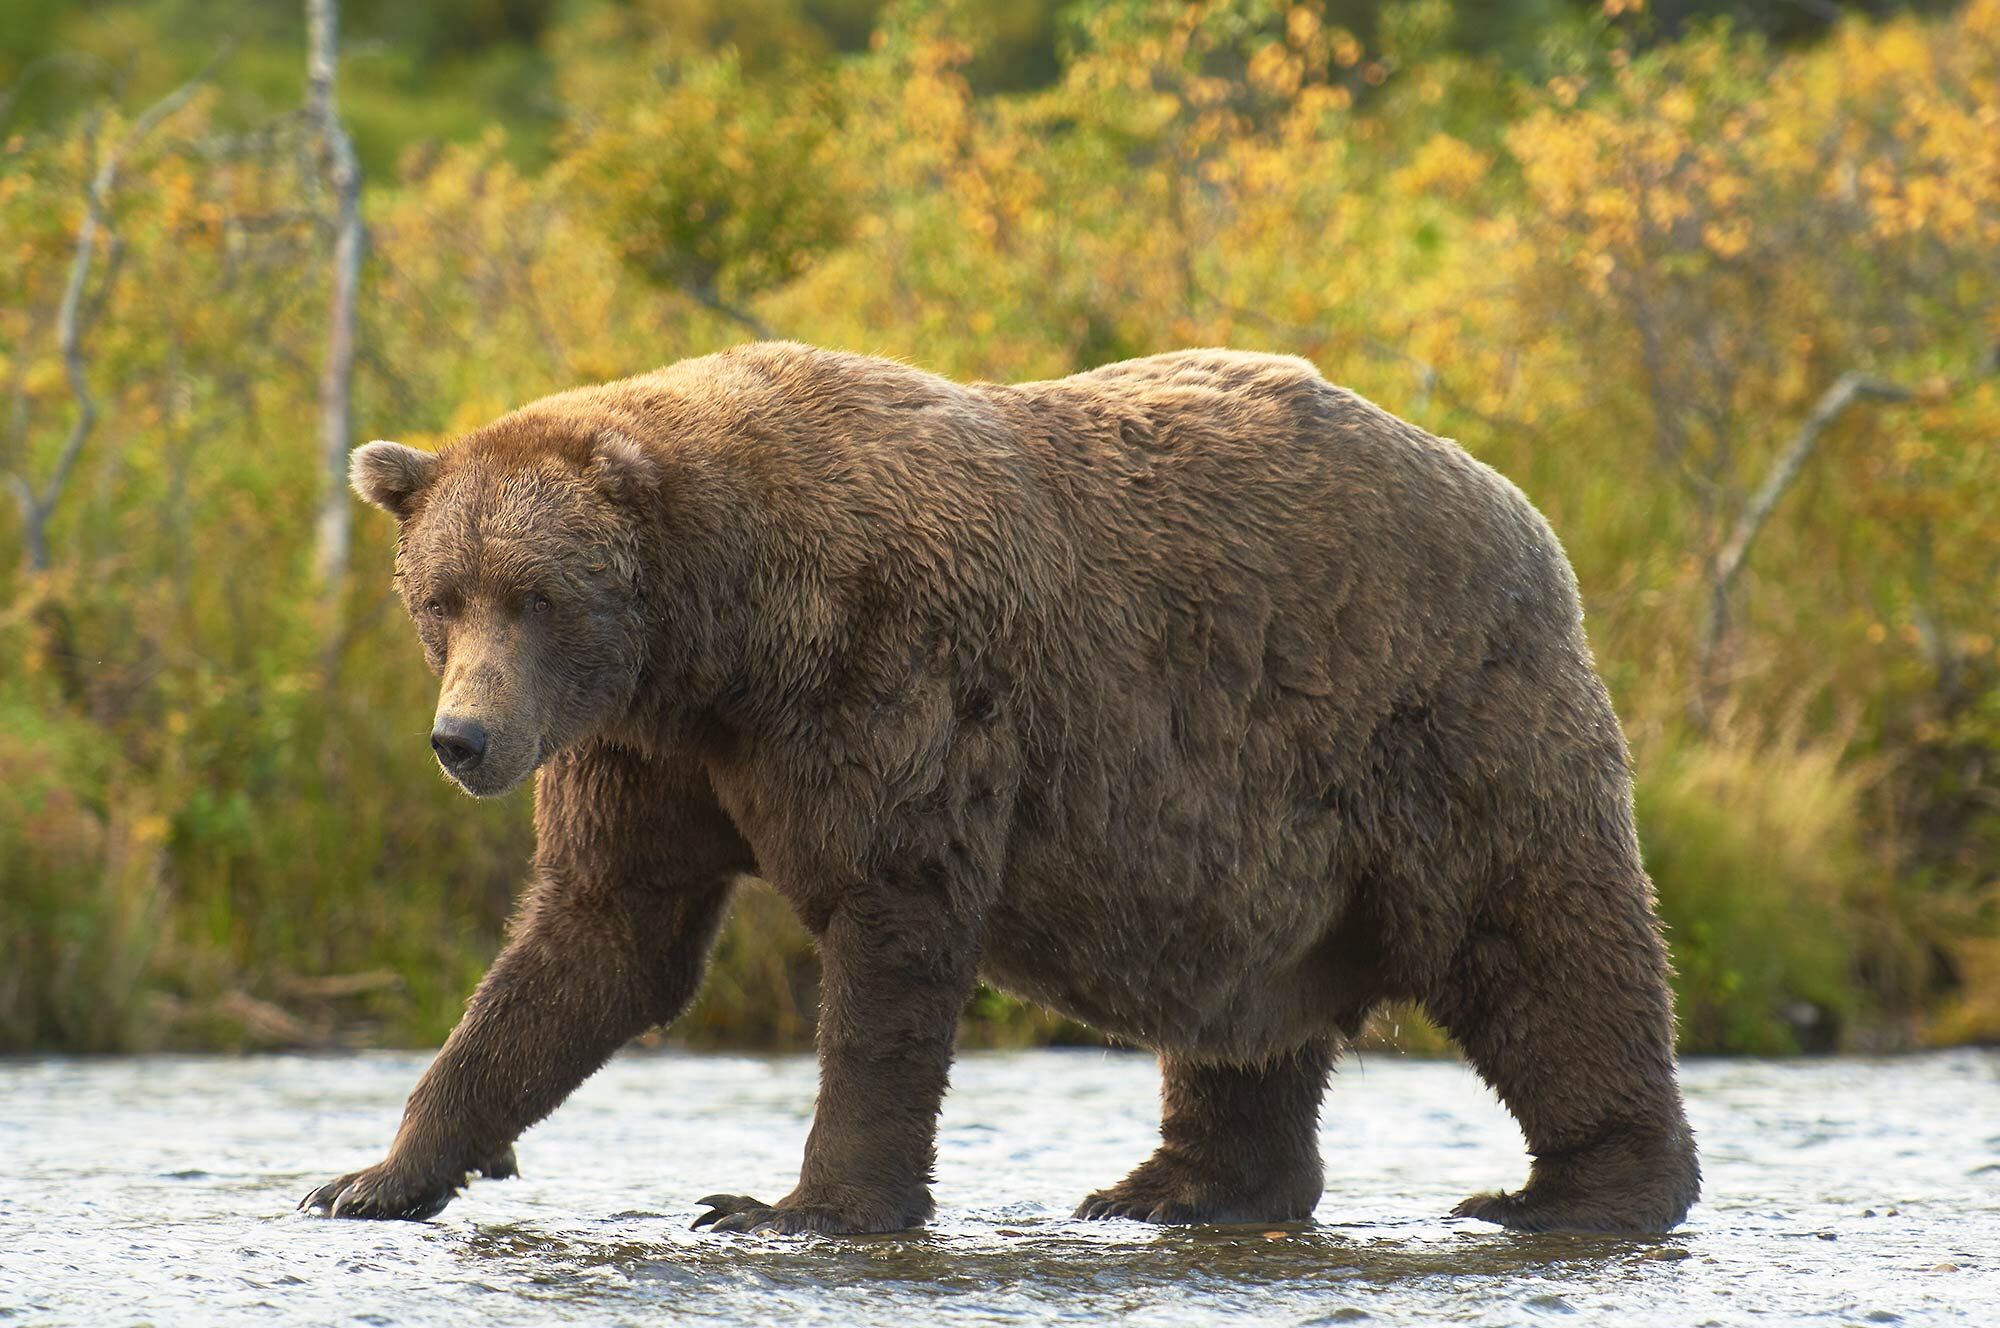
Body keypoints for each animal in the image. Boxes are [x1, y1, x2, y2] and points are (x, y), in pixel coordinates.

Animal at [302, 342, 1699, 1236]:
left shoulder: (895, 685)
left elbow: (889, 938)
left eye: (536, 595)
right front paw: (374, 1172)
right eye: (440, 596)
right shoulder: (649, 753)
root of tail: (1517, 504)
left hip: (1434, 723)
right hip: (1259, 836)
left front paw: (788, 1205)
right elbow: (595, 940)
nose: (466, 737)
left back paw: (1573, 1193)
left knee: (1536, 944)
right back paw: (1175, 1187)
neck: (722, 645)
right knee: (1247, 1005)